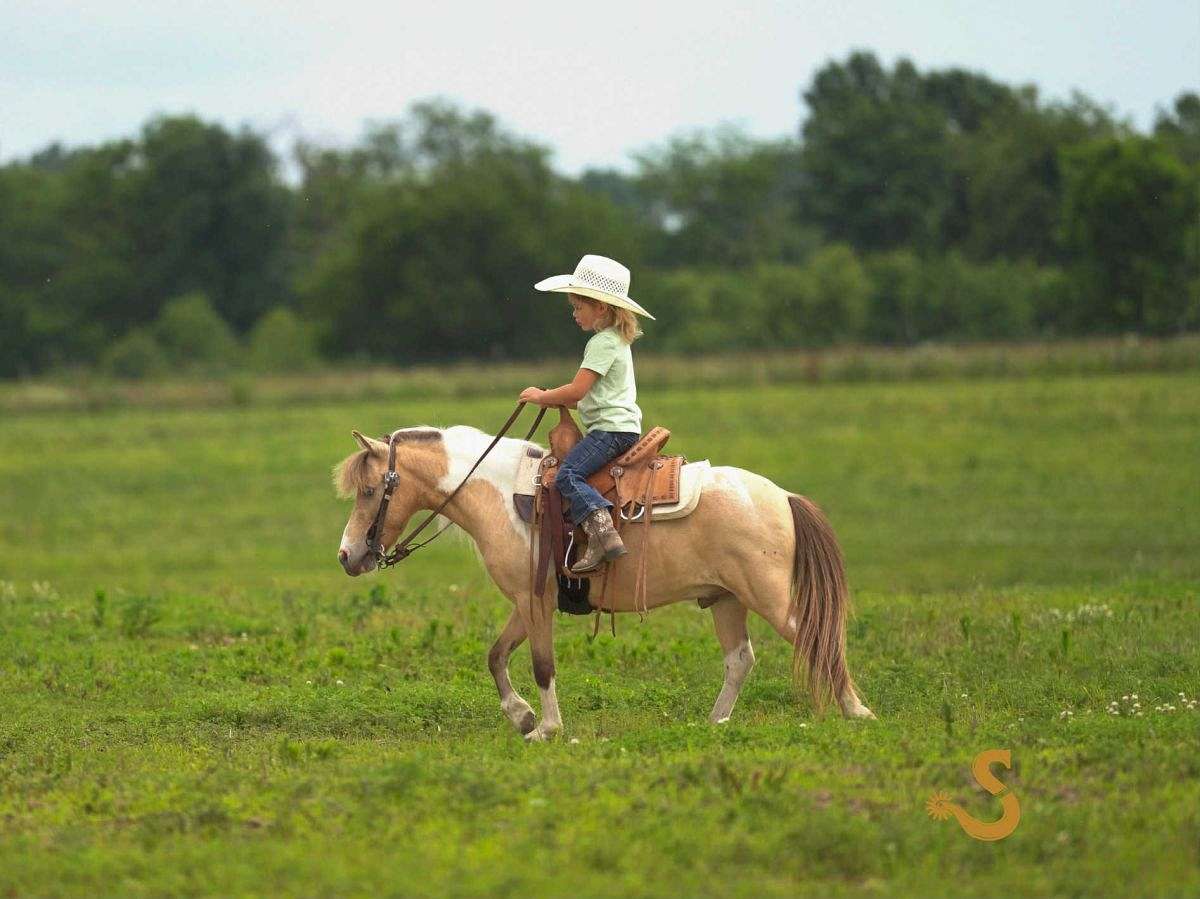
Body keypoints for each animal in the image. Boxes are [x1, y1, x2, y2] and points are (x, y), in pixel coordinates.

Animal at [333, 424, 874, 741]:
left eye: (369, 490)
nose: (347, 555)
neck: (501, 495)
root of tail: (782, 496)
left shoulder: (535, 599)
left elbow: (542, 665)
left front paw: (546, 728)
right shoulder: (527, 602)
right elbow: (496, 656)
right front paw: (522, 717)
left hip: (767, 596)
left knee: (818, 639)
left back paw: (857, 712)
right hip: (725, 599)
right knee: (740, 660)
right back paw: (715, 722)